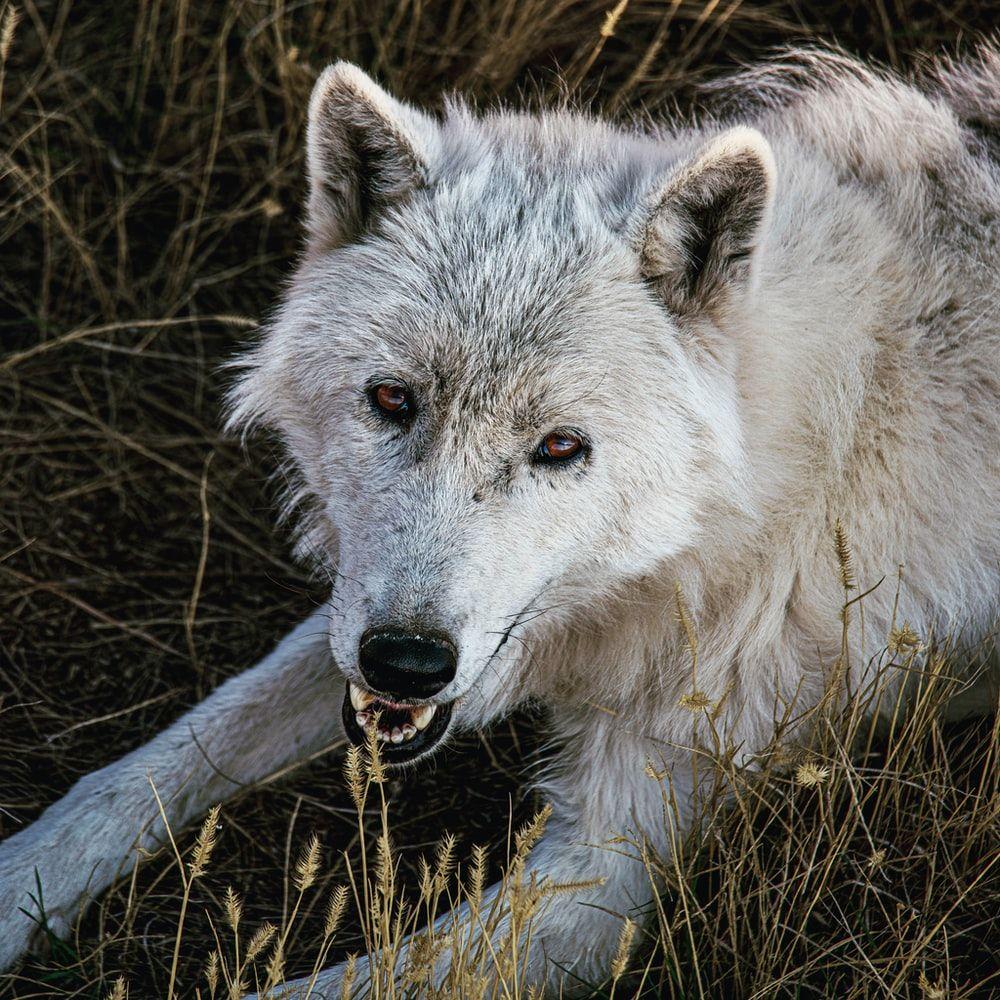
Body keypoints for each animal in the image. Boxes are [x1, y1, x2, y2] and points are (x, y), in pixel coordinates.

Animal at [1, 44, 998, 995]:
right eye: (392, 399)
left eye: (560, 446)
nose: (406, 662)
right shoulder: (361, 620)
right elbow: (159, 761)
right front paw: (18, 884)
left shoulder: (601, 873)